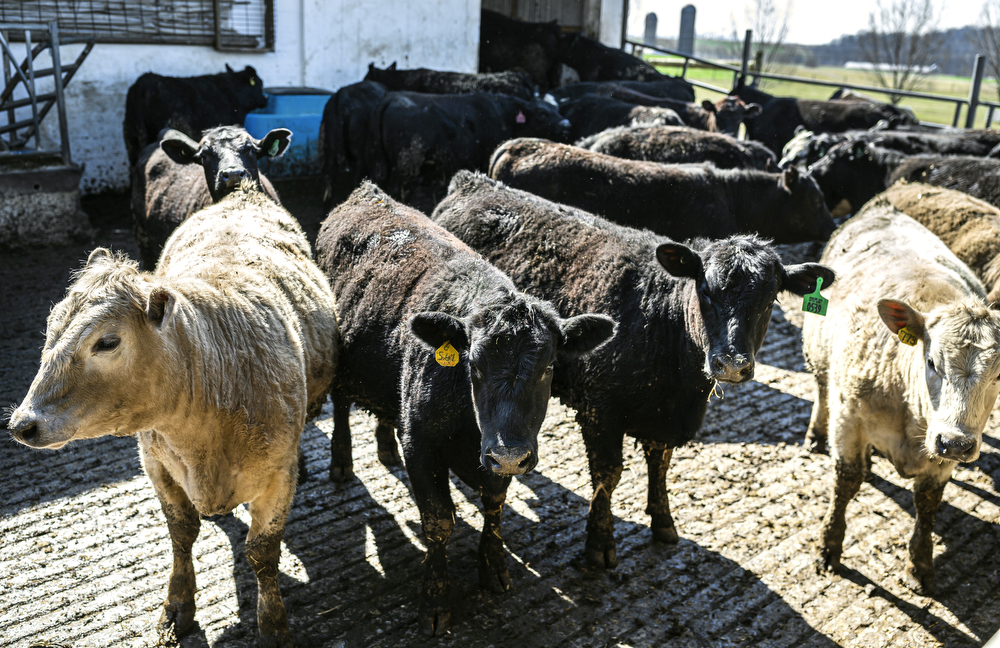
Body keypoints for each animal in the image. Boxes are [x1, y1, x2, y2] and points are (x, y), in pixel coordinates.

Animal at [7, 184, 339, 646]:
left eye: (106, 342)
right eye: (50, 329)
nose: (23, 423)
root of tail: (241, 192)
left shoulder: (277, 476)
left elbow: (262, 552)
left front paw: (272, 624)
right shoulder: (156, 464)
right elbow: (181, 534)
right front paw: (178, 604)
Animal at [315, 182, 614, 634]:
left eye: (548, 367)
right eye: (472, 364)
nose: (508, 454)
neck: (469, 429)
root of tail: (367, 191)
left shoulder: (499, 457)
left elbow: (494, 505)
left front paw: (492, 565)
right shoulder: (422, 444)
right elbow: (439, 520)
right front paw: (436, 598)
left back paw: (385, 444)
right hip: (338, 361)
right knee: (341, 405)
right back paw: (341, 462)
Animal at [368, 91, 571, 213]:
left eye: (557, 109)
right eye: (542, 113)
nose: (566, 125)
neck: (504, 115)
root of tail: (392, 96)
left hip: (382, 164)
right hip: (405, 165)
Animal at [433, 170, 835, 567]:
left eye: (770, 301)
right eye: (705, 291)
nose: (732, 363)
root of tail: (474, 182)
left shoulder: (665, 419)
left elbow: (660, 464)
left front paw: (663, 521)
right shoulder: (599, 410)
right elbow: (608, 474)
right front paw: (599, 541)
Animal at [802, 198, 1000, 595]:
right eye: (931, 361)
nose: (955, 442)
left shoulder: (942, 454)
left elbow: (928, 502)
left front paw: (920, 564)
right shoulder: (848, 419)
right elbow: (846, 481)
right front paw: (829, 546)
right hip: (818, 354)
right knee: (821, 388)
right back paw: (816, 433)